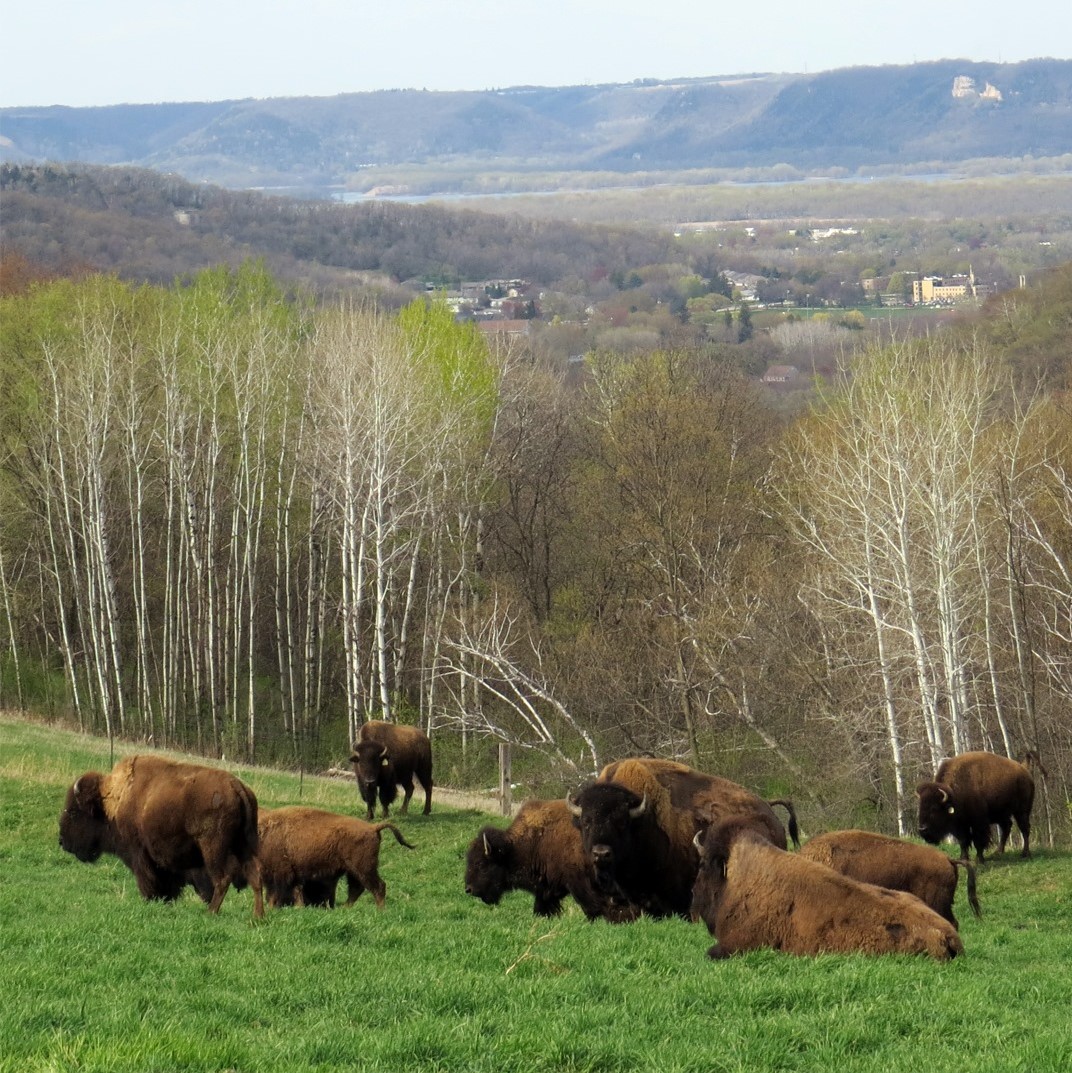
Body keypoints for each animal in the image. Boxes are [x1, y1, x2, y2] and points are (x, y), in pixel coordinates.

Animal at [59, 754, 264, 916]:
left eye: (74, 812)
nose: (62, 841)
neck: (113, 801)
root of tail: (237, 786)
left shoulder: (139, 853)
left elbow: (148, 879)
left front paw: (151, 900)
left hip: (213, 848)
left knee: (223, 877)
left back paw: (211, 912)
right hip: (244, 844)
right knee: (255, 874)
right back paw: (258, 916)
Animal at [257, 805, 415, 908]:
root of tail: (372, 827)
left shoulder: (280, 872)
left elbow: (276, 891)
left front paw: (273, 907)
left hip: (363, 868)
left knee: (378, 886)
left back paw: (380, 911)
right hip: (353, 871)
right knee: (357, 889)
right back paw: (345, 908)